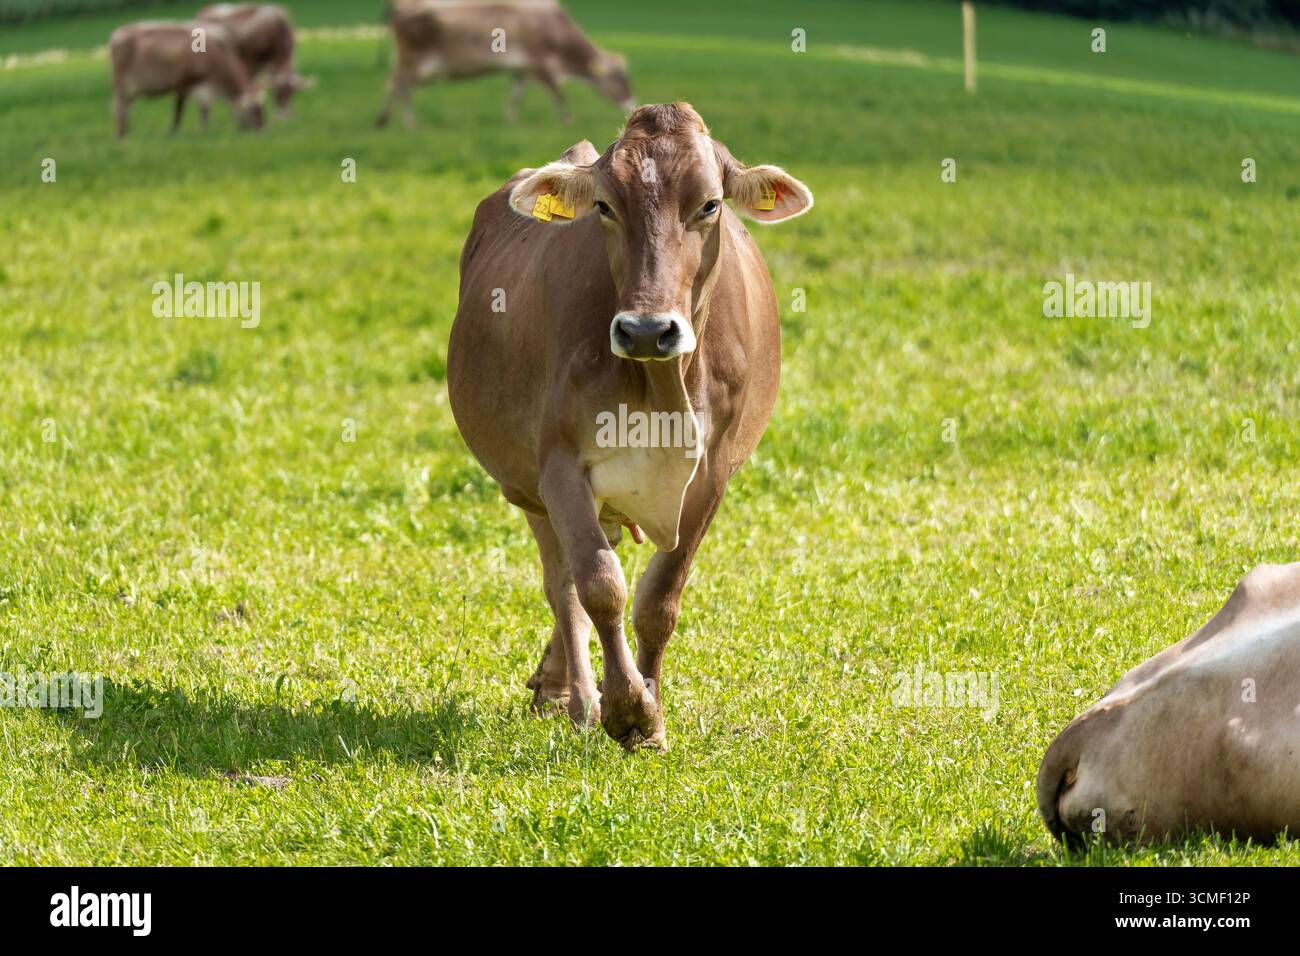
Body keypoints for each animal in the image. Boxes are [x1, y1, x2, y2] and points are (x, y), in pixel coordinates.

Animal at [109, 21, 263, 138]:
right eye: (254, 111)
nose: (263, 132)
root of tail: (118, 32)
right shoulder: (184, 83)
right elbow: (179, 110)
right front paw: (174, 132)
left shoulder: (203, 86)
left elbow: (204, 109)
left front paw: (205, 131)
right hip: (122, 85)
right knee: (119, 109)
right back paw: (122, 137)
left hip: (130, 91)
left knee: (126, 109)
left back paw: (127, 134)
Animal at [377, 0, 634, 128]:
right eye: (618, 79)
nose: (632, 104)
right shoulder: (539, 62)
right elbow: (558, 94)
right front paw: (569, 120)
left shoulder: (521, 68)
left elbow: (516, 95)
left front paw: (510, 121)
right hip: (415, 59)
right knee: (398, 84)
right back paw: (404, 122)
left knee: (396, 84)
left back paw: (386, 121)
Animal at [446, 102, 812, 749]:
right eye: (604, 206)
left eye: (709, 204)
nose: (646, 330)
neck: (660, 389)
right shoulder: (559, 466)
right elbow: (599, 585)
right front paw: (626, 708)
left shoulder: (712, 473)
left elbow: (659, 599)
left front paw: (652, 711)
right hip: (528, 485)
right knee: (563, 582)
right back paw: (574, 696)